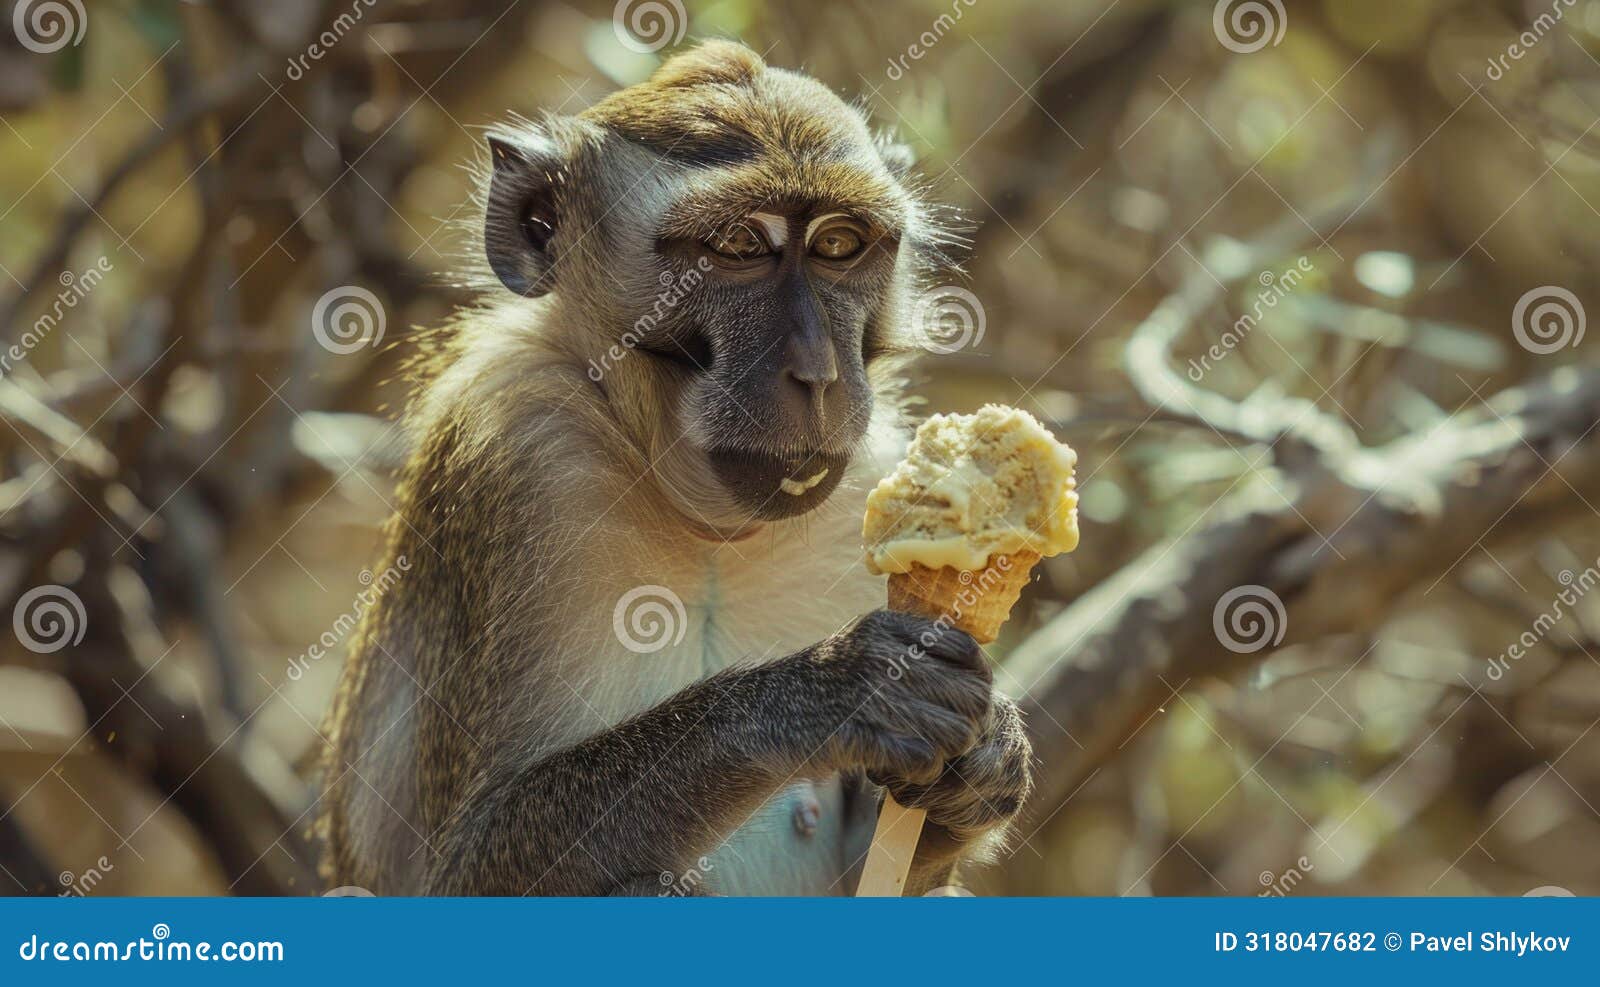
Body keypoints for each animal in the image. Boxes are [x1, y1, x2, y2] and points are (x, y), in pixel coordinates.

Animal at [318, 40, 1032, 896]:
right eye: (739, 247)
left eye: (837, 245)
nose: (818, 373)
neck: (703, 525)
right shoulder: (518, 453)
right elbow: (464, 865)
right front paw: (831, 692)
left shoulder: (871, 474)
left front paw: (984, 765)